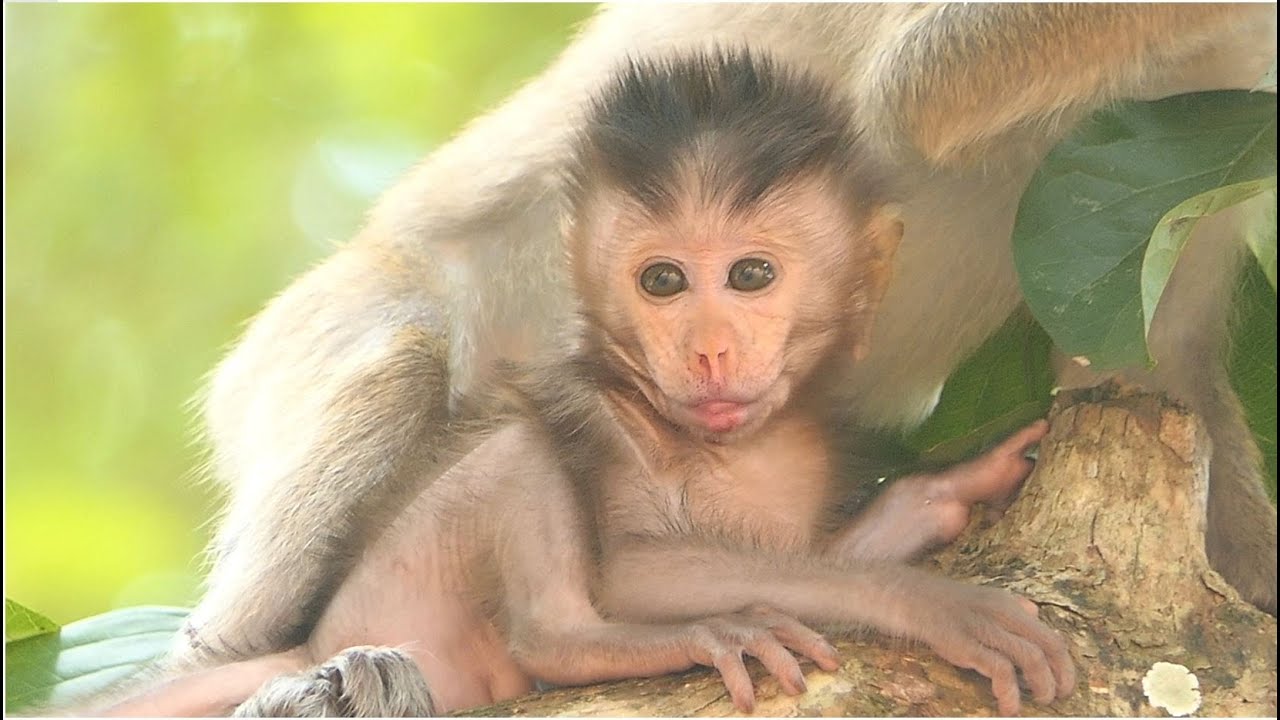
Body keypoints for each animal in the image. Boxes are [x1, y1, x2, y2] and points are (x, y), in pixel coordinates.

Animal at [97, 50, 1073, 718]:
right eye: (663, 282)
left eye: (751, 276)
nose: (708, 351)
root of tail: (313, 642)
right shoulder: (604, 418)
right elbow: (631, 568)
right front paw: (936, 602)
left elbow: (826, 555)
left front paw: (937, 498)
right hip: (390, 603)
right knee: (521, 470)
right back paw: (574, 646)